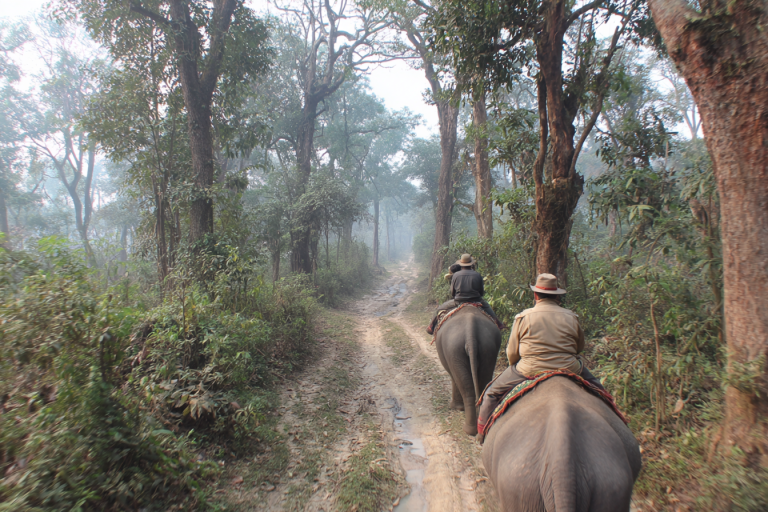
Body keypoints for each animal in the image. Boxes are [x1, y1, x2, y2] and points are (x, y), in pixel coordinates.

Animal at [434, 305, 502, 436]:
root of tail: (471, 332)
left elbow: (453, 376)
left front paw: (455, 407)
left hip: (454, 349)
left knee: (466, 387)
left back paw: (468, 428)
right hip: (488, 349)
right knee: (482, 383)